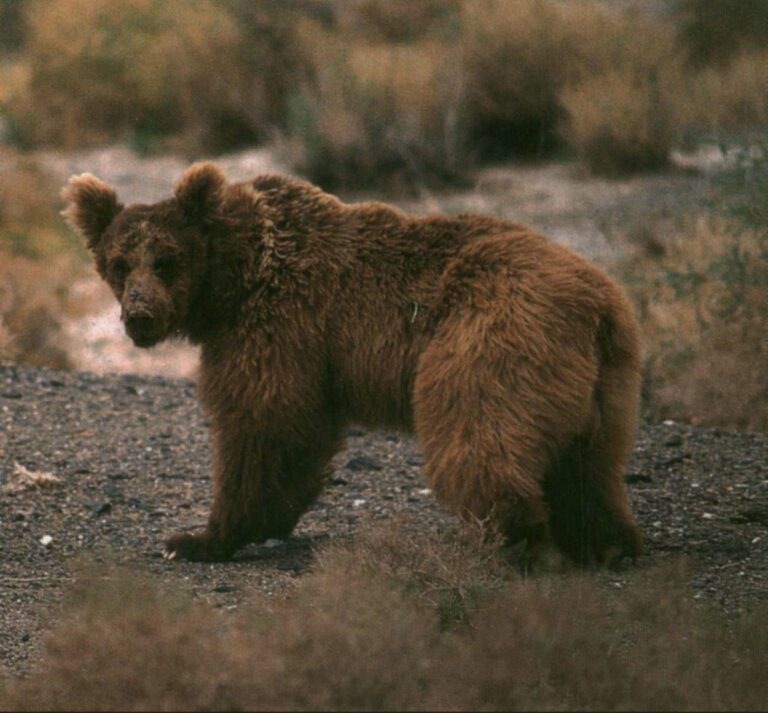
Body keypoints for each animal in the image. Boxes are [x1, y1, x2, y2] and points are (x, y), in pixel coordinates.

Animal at [62, 162, 643, 565]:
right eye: (119, 263)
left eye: (167, 260)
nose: (139, 315)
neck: (235, 279)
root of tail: (601, 302)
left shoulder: (280, 324)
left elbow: (265, 421)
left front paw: (199, 537)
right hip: (600, 384)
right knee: (587, 461)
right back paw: (607, 542)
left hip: (490, 334)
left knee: (477, 429)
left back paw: (508, 538)